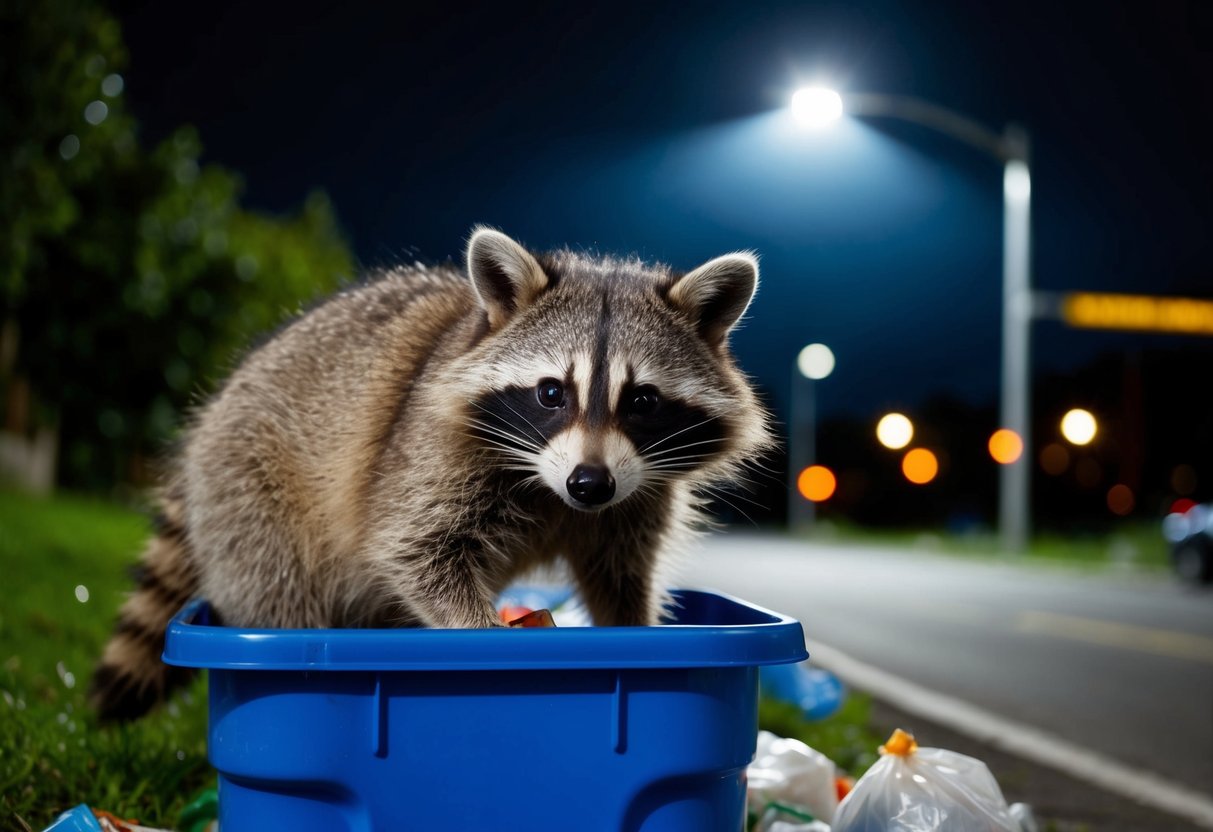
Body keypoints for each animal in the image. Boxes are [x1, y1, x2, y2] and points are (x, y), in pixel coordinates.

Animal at [90, 228, 772, 720]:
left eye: (643, 401)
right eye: (552, 393)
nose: (589, 484)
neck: (552, 489)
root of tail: (209, 419)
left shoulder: (639, 488)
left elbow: (620, 575)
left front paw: (635, 632)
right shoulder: (426, 452)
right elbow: (413, 546)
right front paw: (483, 634)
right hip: (244, 487)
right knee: (279, 593)